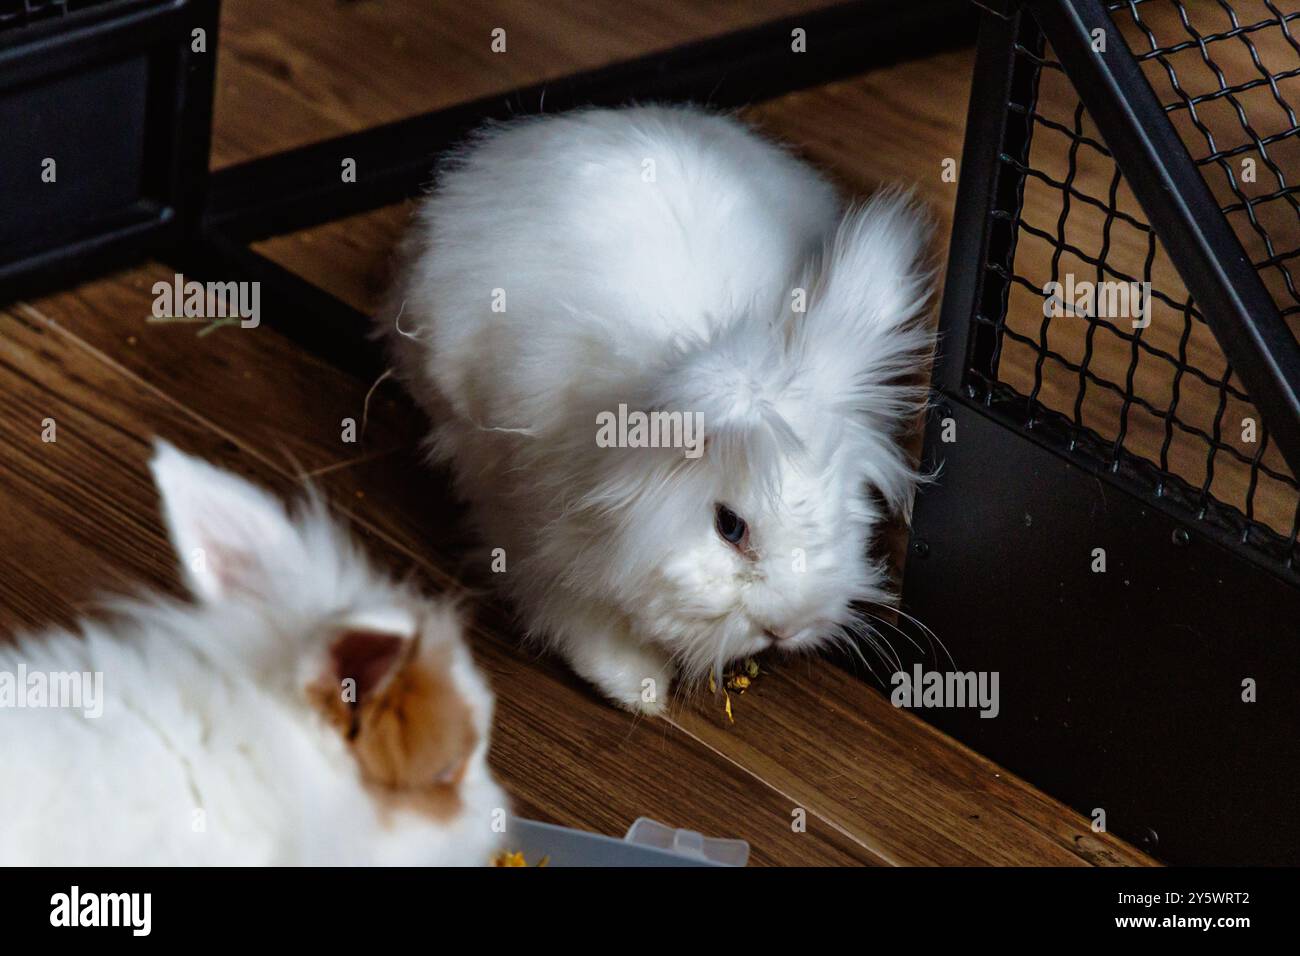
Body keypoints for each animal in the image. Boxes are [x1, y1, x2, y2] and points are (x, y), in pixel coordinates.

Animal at [382, 104, 934, 715]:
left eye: (842, 505)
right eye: (730, 527)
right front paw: (633, 686)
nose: (788, 627)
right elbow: (565, 598)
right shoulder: (523, 510)